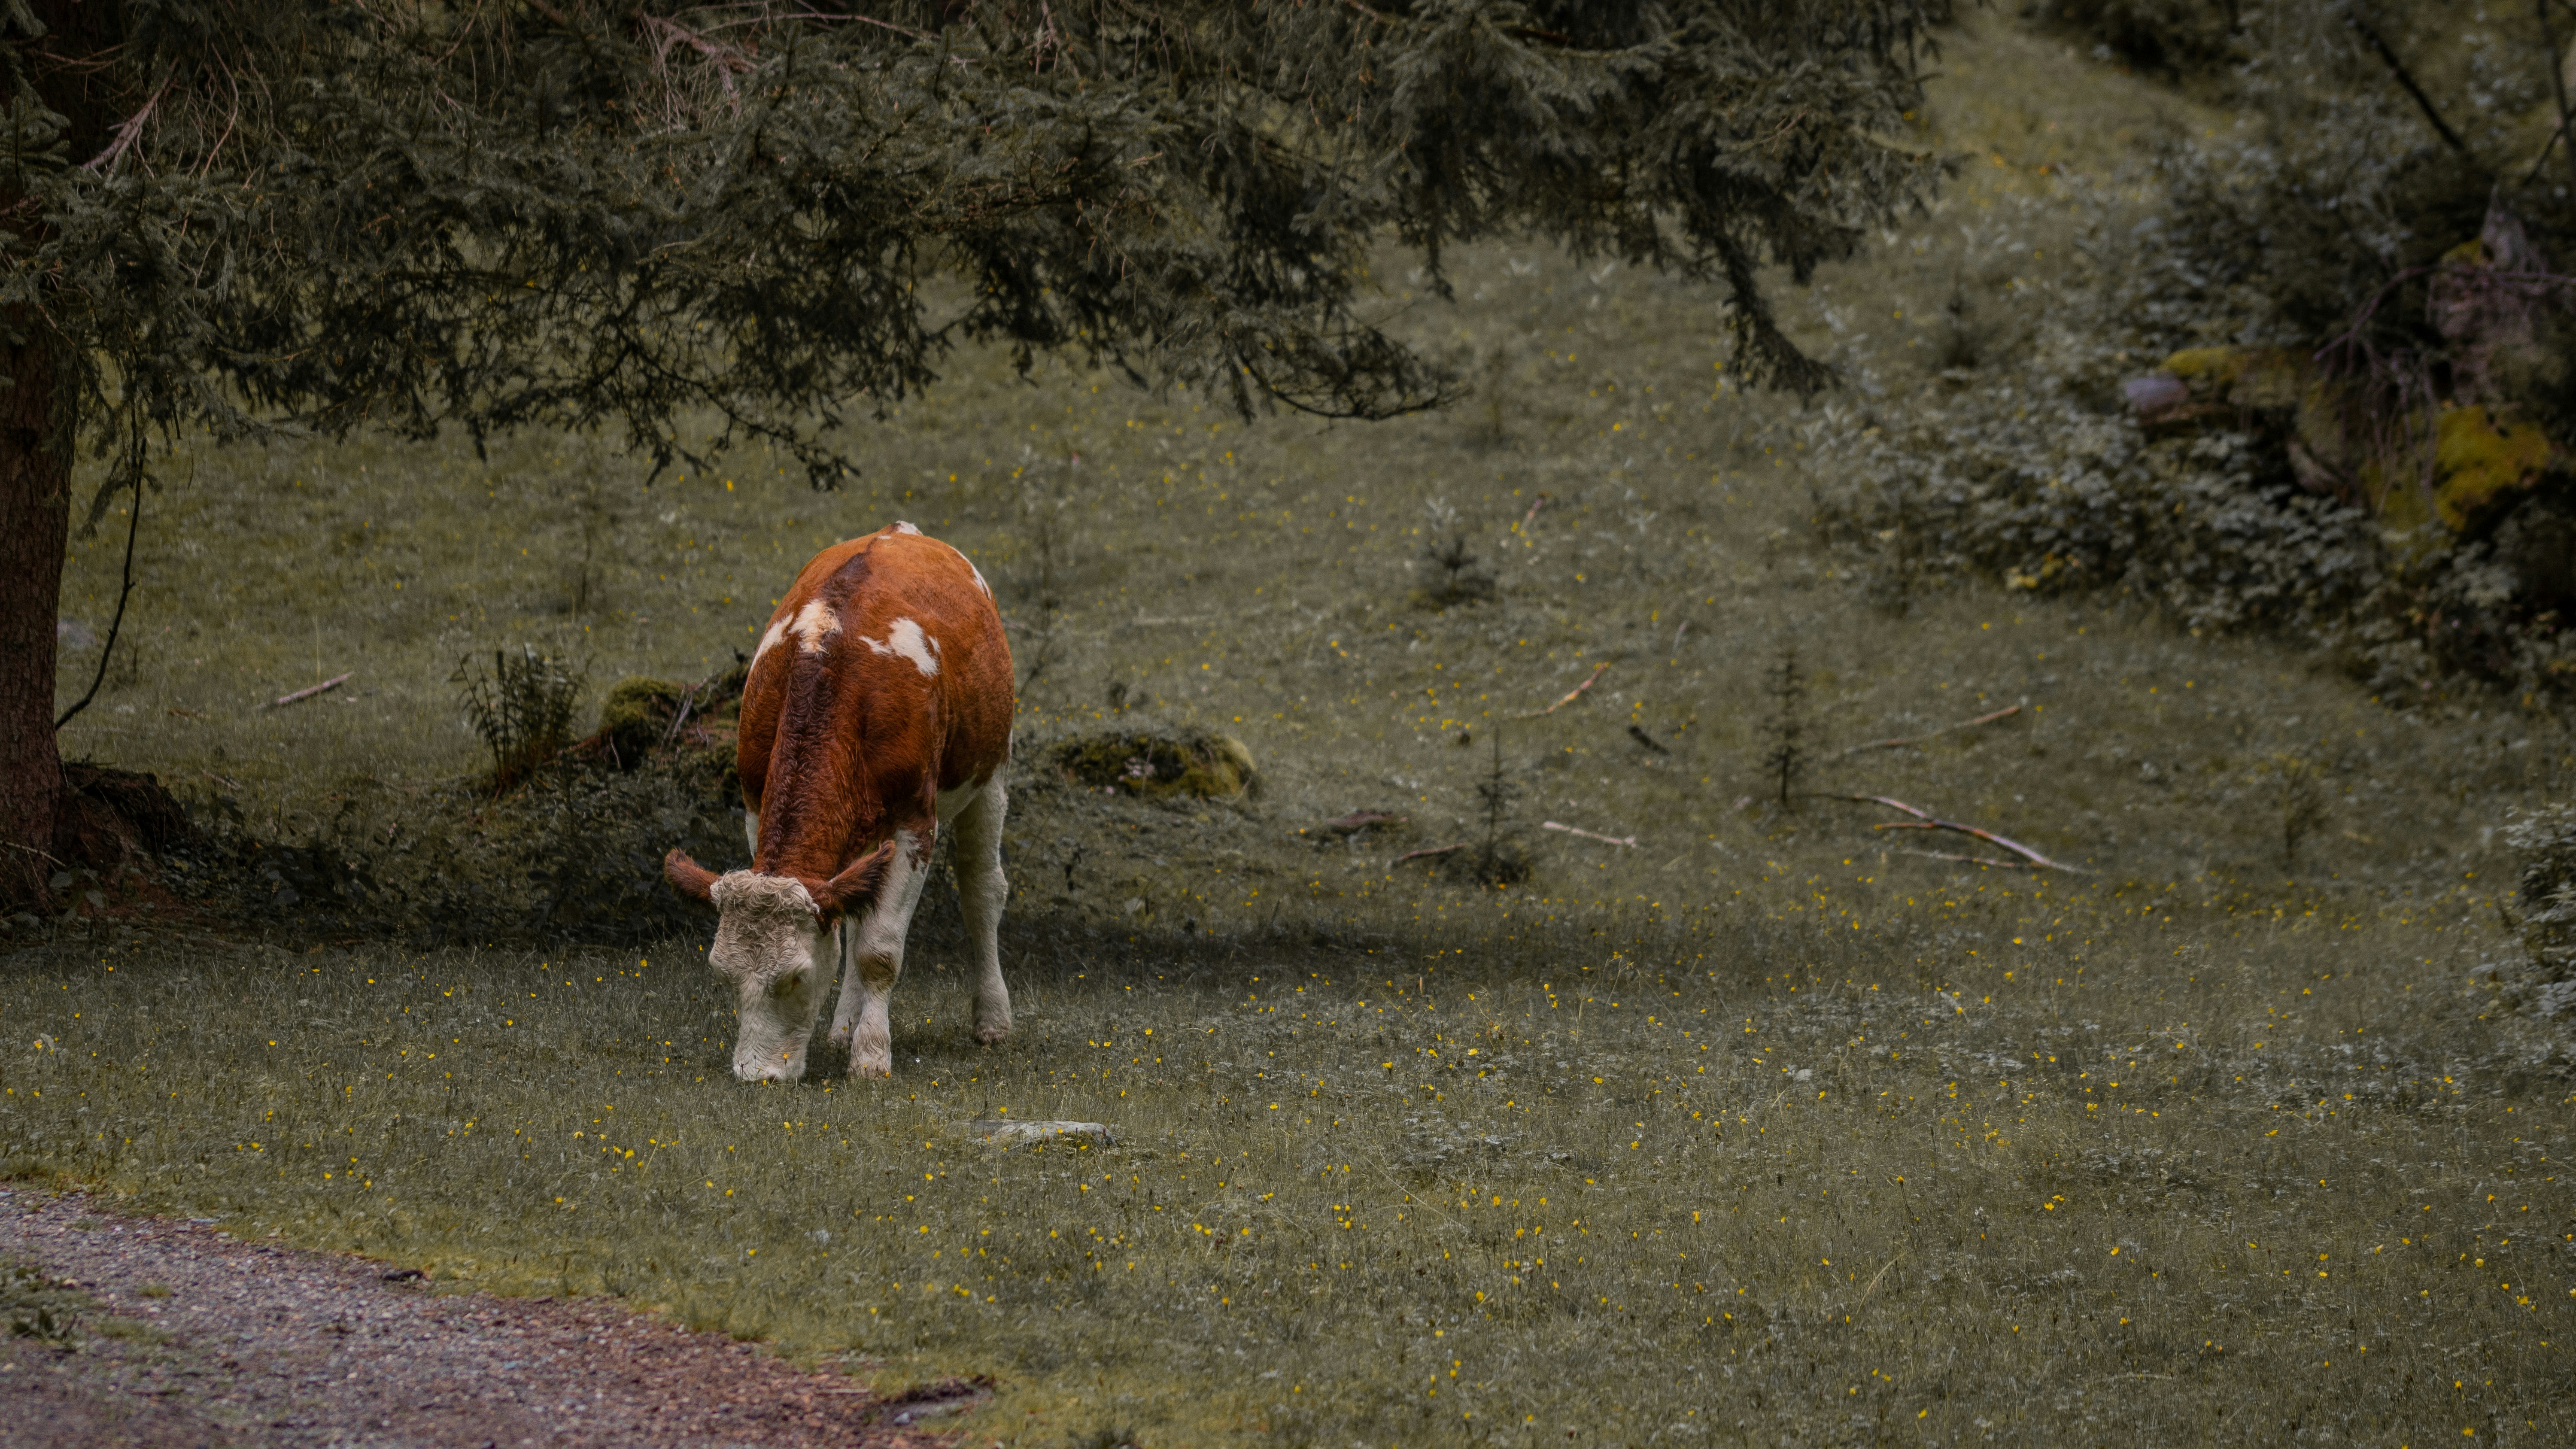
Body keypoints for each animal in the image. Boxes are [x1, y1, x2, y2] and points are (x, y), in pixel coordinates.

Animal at [662, 522, 1013, 1082]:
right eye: (723, 975)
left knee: (982, 891)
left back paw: (992, 1020)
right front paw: (854, 1034)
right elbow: (853, 922)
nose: (756, 1076)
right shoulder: (756, 805)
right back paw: (846, 1024)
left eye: (797, 977)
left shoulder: (915, 822)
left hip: (993, 769)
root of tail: (901, 530)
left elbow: (879, 951)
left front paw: (871, 1057)